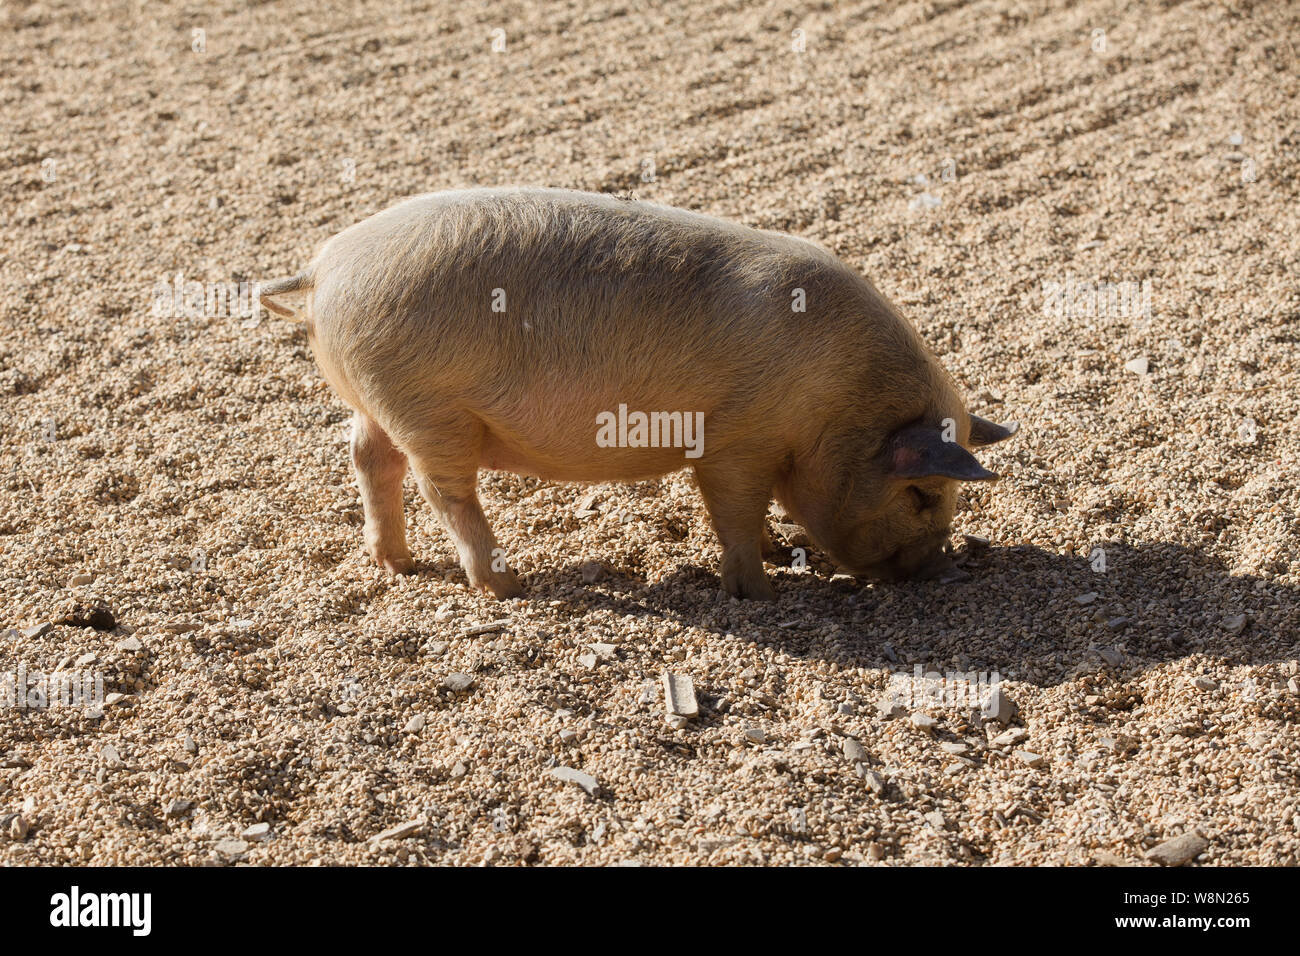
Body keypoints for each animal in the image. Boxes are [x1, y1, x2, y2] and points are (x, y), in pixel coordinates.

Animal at [260, 187, 1016, 600]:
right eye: (923, 495)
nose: (937, 570)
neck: (834, 409)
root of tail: (324, 269)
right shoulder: (735, 441)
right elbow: (732, 512)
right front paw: (763, 591)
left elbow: (754, 514)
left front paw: (777, 553)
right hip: (426, 408)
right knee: (443, 490)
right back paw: (508, 585)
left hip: (373, 400)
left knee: (368, 460)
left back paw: (396, 564)